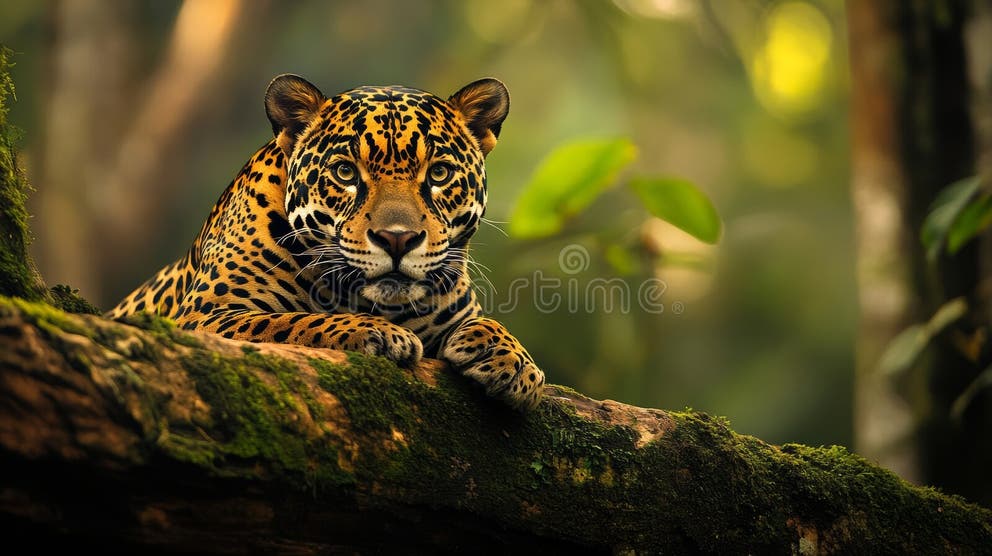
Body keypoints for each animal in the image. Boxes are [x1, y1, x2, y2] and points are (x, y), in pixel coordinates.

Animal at [108, 74, 545, 410]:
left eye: (439, 173)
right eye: (345, 172)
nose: (397, 239)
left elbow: (490, 324)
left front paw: (514, 362)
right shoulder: (208, 315)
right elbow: (292, 320)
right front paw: (378, 333)